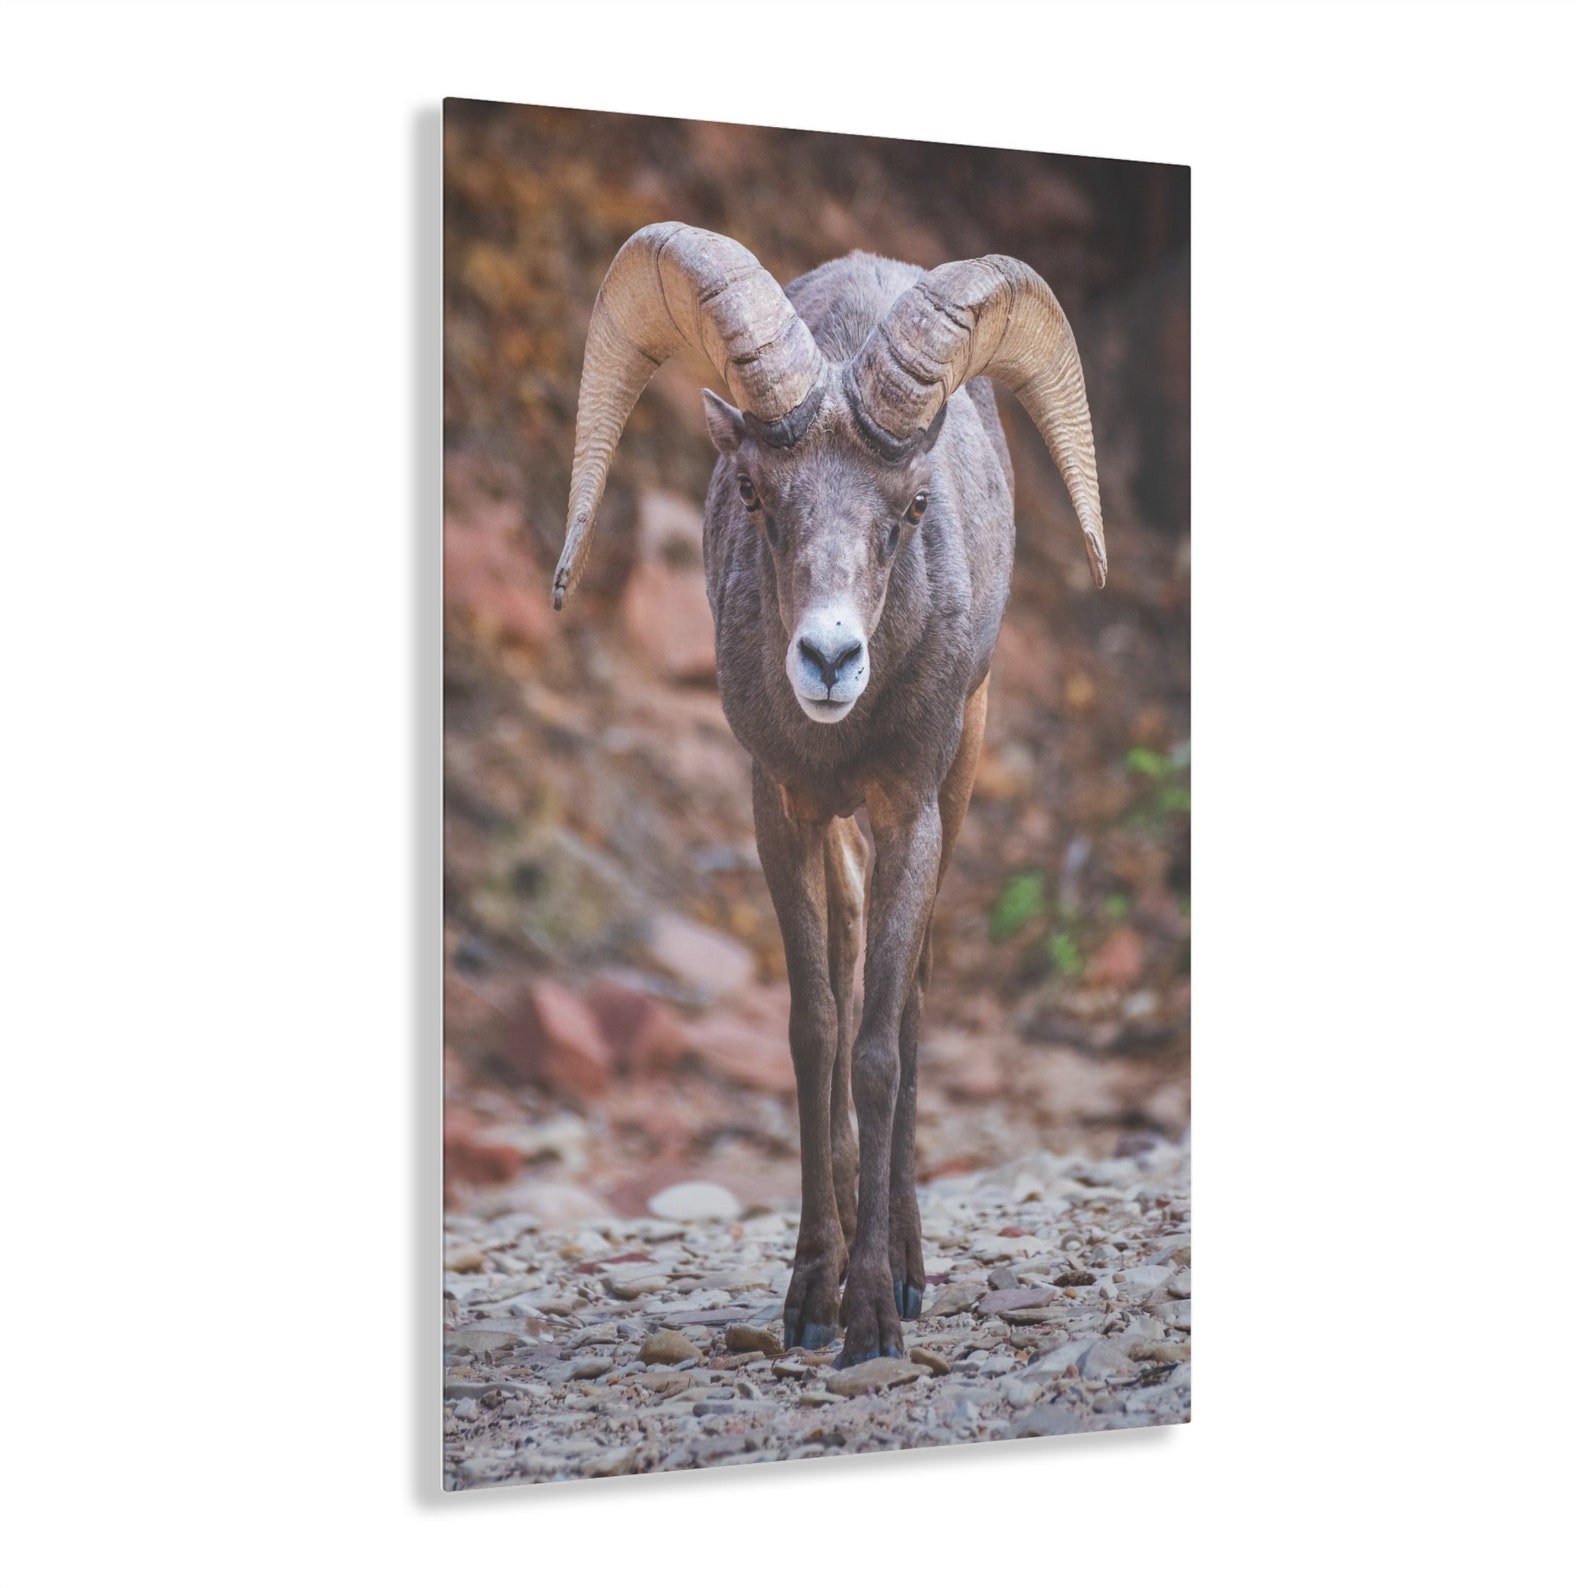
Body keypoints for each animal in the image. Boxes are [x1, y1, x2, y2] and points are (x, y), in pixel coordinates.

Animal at [551, 223, 1107, 1365]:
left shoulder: (909, 809)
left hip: (961, 775)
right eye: (757, 495)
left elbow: (883, 1041)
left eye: (912, 505)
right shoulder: (784, 812)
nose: (829, 659)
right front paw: (809, 1297)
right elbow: (816, 1033)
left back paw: (904, 1267)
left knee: (913, 997)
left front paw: (870, 1316)